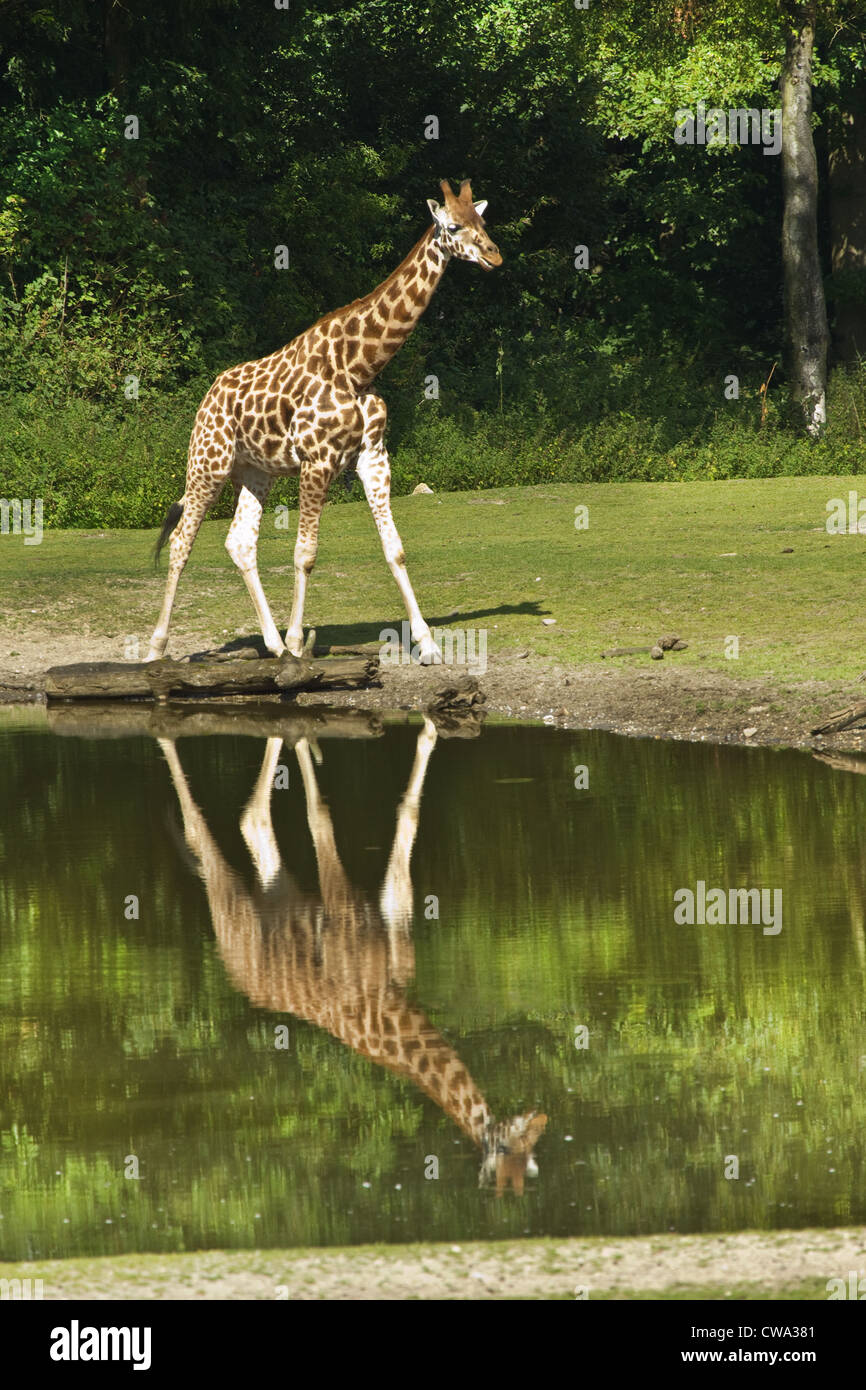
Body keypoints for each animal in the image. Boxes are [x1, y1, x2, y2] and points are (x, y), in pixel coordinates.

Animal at [147, 179, 502, 665]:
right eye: (452, 226)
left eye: (481, 221)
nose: (494, 256)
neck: (358, 367)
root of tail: (208, 396)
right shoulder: (317, 461)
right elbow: (306, 553)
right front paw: (300, 644)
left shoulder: (373, 456)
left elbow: (395, 549)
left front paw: (427, 644)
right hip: (208, 463)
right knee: (182, 540)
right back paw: (157, 646)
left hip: (255, 472)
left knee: (239, 541)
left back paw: (273, 644)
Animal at [158, 720, 547, 1195]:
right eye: (505, 1149)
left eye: (530, 1150)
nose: (537, 1116)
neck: (387, 998)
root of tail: (237, 969)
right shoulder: (343, 906)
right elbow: (319, 814)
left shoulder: (389, 912)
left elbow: (408, 809)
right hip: (234, 909)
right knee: (203, 832)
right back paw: (167, 735)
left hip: (277, 892)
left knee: (255, 820)